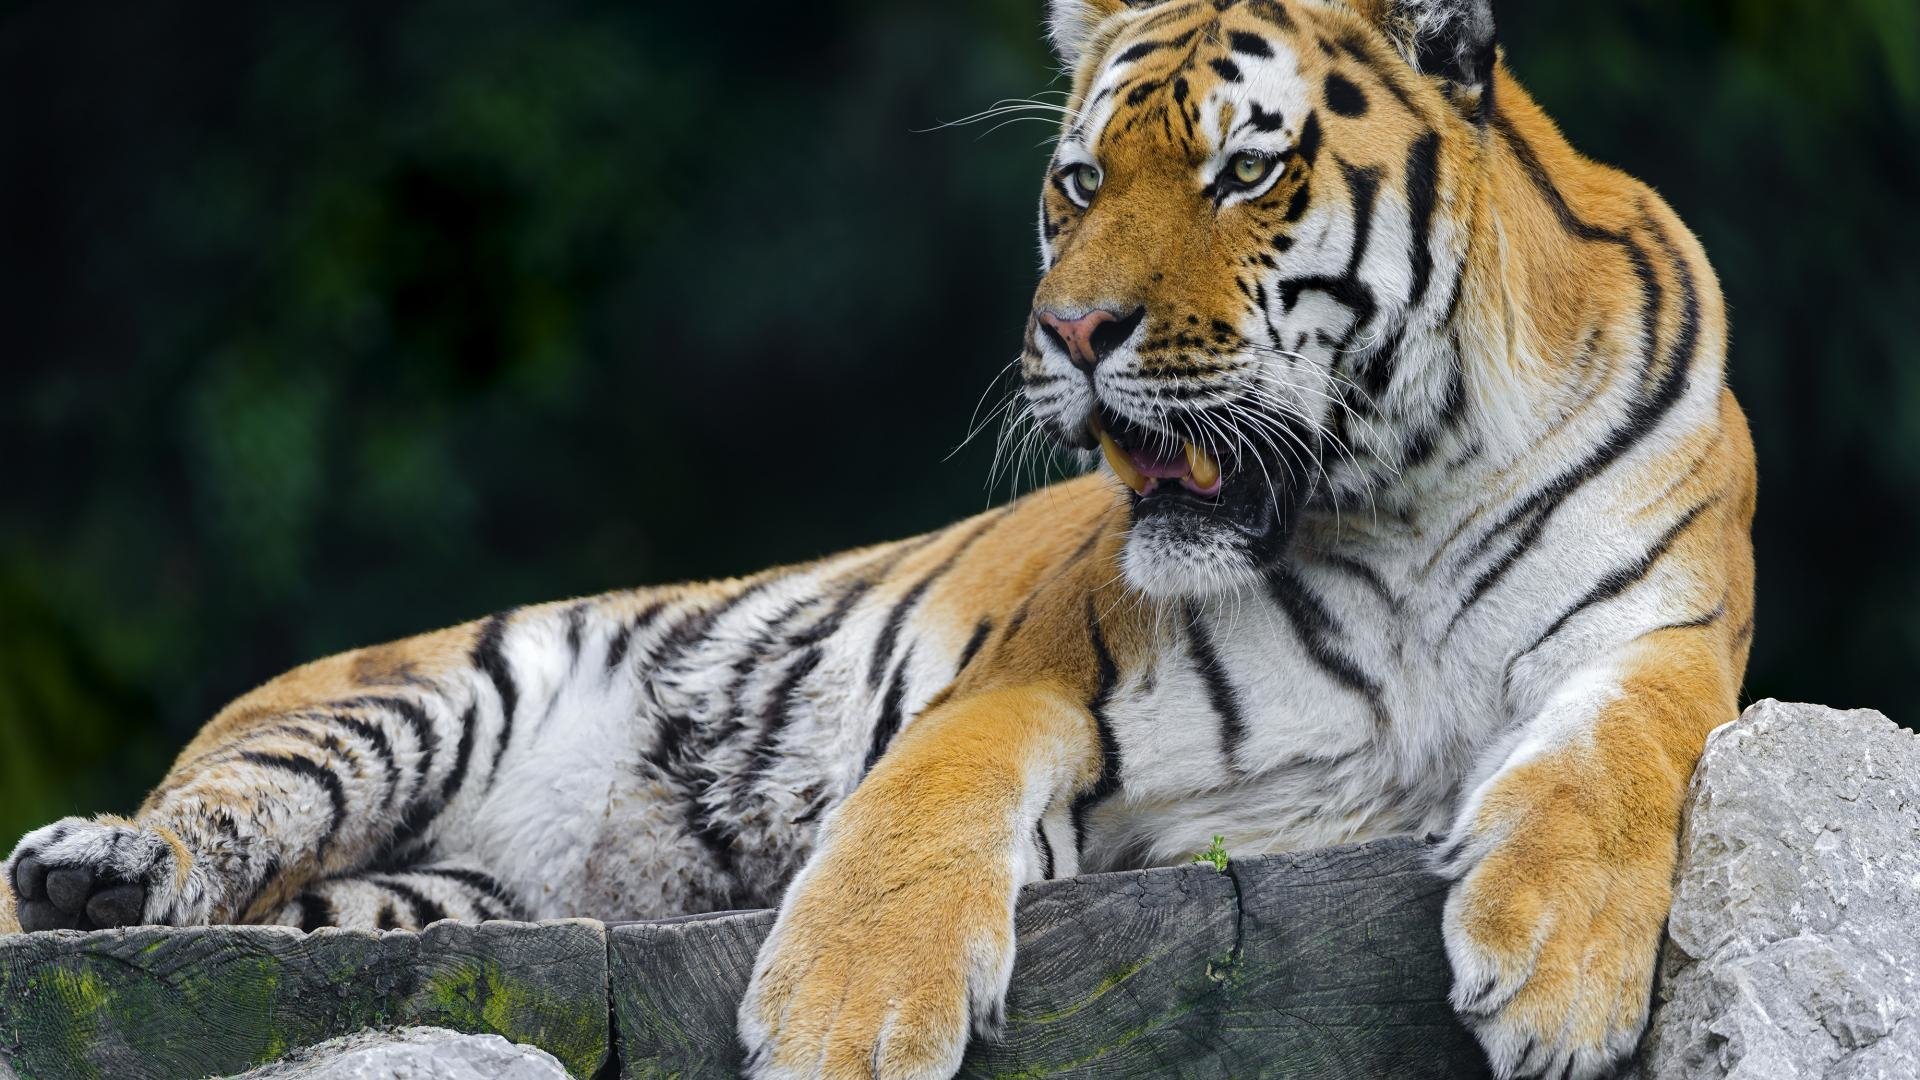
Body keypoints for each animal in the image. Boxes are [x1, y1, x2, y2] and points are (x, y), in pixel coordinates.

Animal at [3, 0, 1754, 1076]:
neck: (1400, 495)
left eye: (1245, 169)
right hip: (415, 699)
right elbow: (915, 823)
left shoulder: (1670, 638)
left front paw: (1558, 978)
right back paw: (96, 870)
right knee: (207, 819)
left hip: (433, 905)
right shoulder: (1036, 684)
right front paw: (850, 1020)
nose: (1071, 333)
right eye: (1079, 179)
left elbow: (1622, 760)